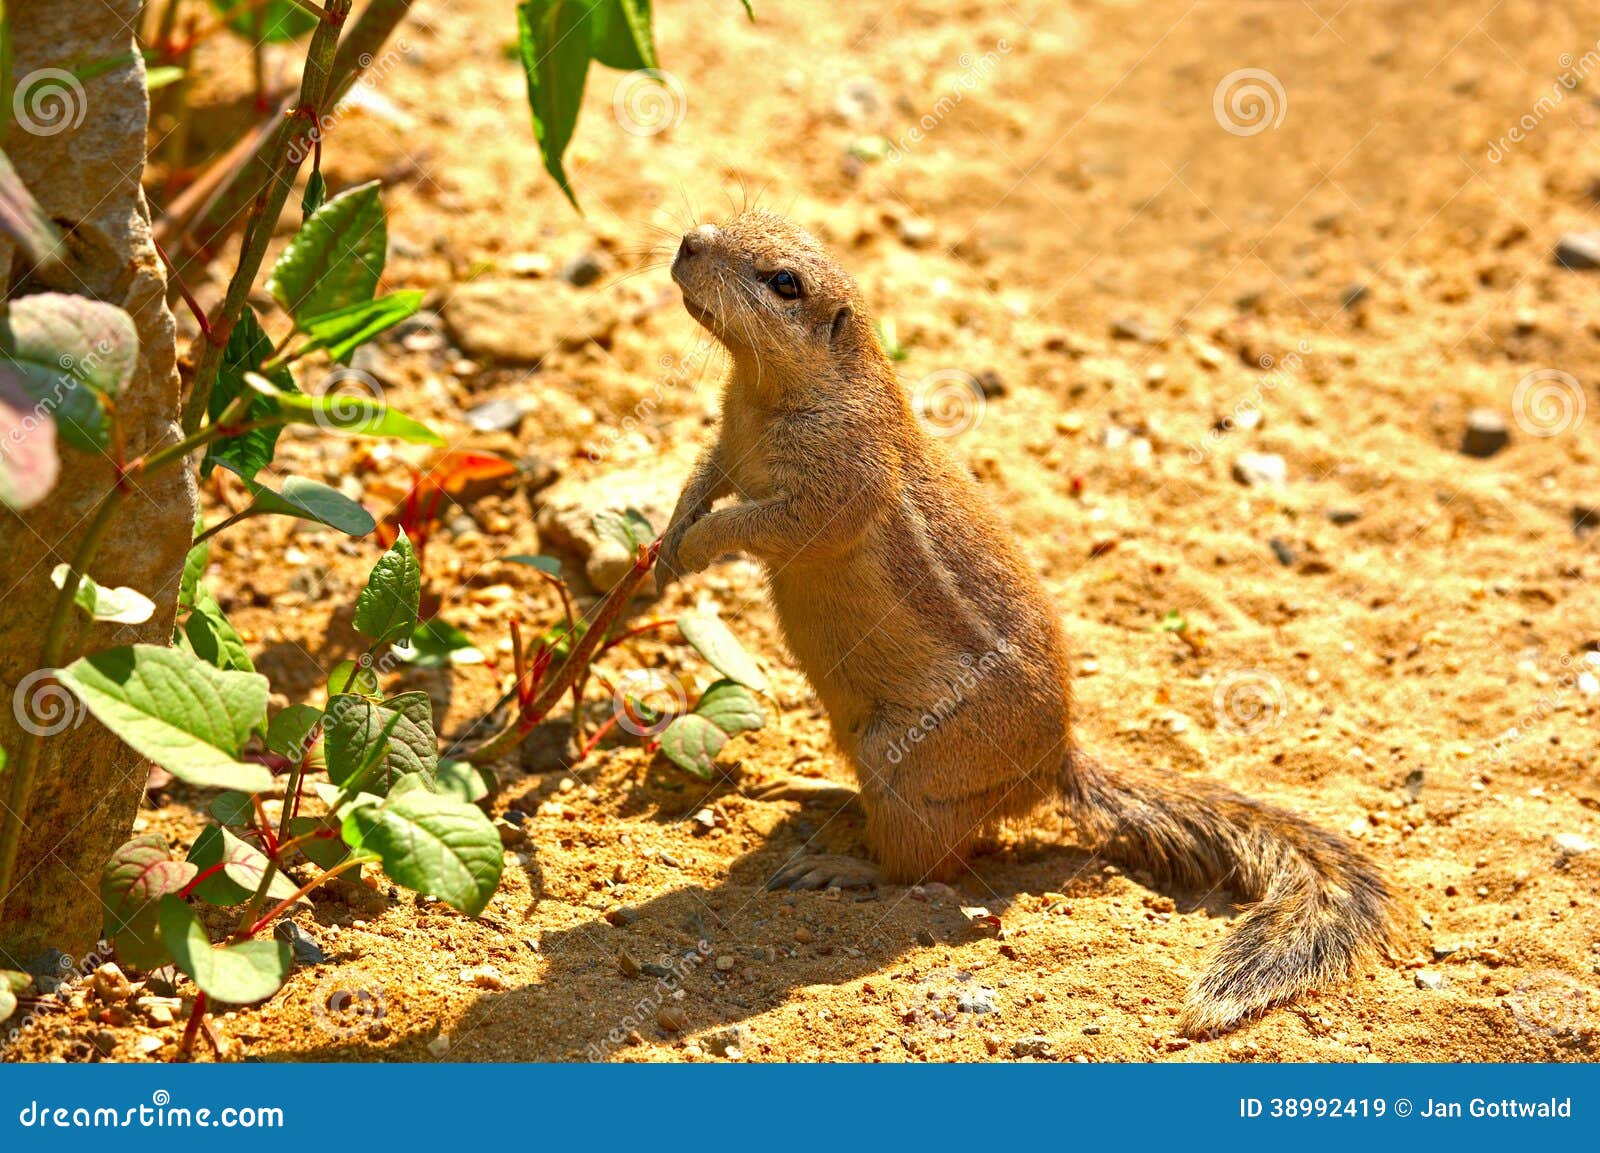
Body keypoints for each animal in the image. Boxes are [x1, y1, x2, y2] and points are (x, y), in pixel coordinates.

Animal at [658, 211, 1401, 1037]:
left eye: (784, 282)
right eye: (737, 221)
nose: (690, 240)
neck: (768, 392)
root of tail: (1056, 761)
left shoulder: (830, 488)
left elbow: (763, 524)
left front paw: (696, 546)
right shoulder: (729, 440)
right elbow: (704, 476)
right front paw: (664, 546)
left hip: (903, 755)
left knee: (930, 869)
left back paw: (837, 863)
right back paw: (813, 789)